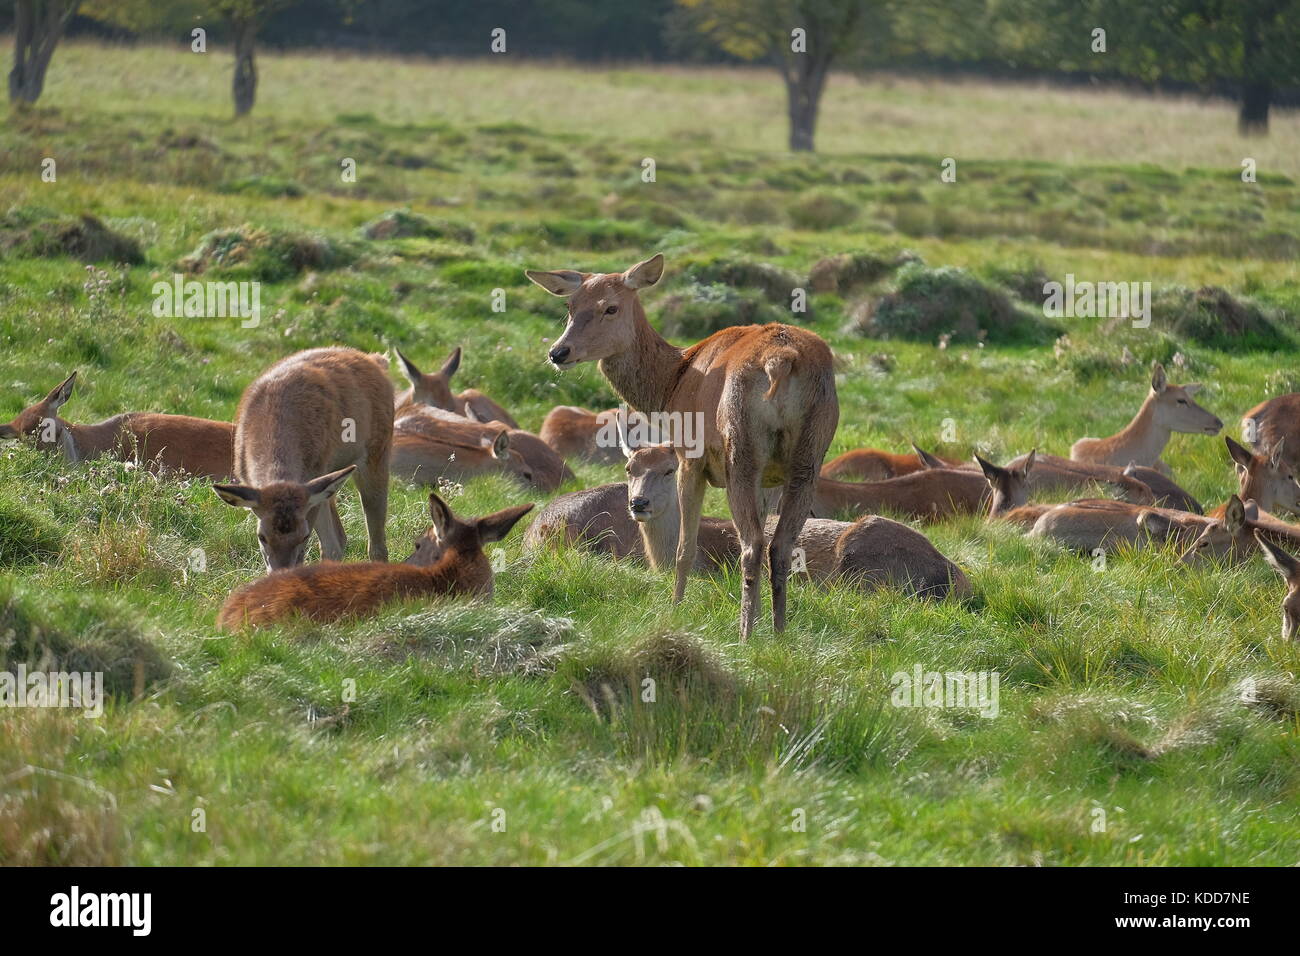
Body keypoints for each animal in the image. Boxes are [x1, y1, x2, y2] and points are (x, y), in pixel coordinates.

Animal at [213, 347, 393, 571]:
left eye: (304, 536)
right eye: (261, 536)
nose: (280, 573)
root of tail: (376, 359)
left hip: (377, 452)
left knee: (374, 544)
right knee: (338, 541)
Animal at [527, 253, 838, 640]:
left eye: (611, 307)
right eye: (570, 306)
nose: (558, 352)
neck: (672, 381)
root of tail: (780, 361)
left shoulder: (690, 457)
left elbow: (684, 546)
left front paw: (675, 609)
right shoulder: (770, 479)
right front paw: (762, 620)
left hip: (741, 452)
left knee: (750, 545)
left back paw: (744, 636)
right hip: (809, 455)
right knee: (778, 545)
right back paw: (778, 634)